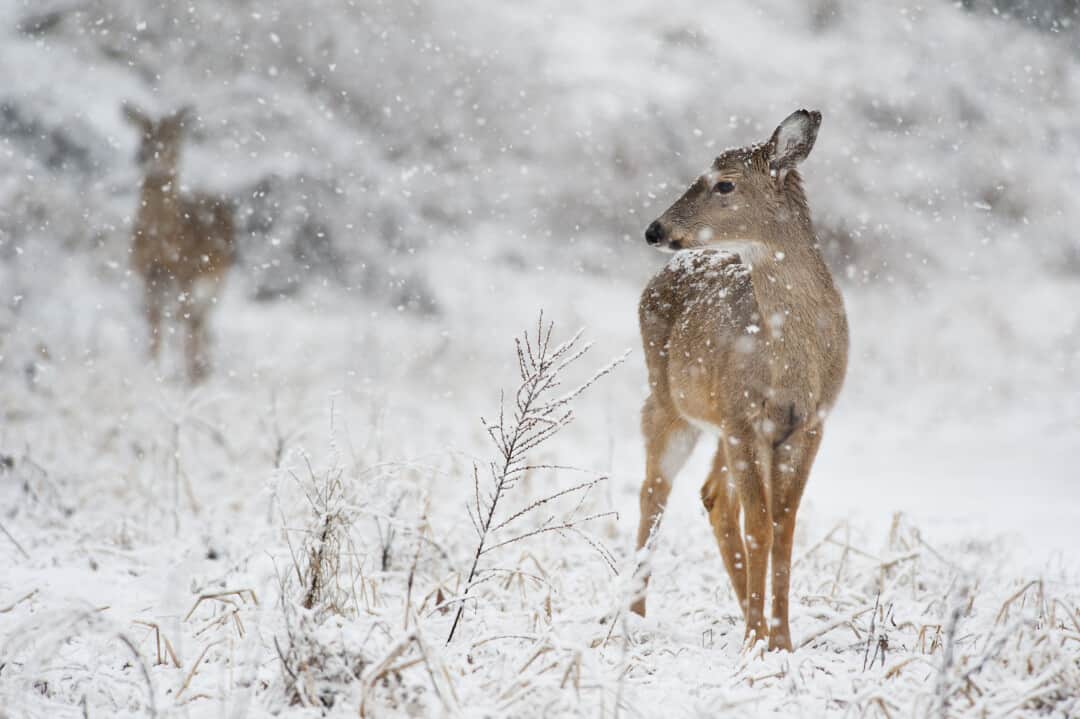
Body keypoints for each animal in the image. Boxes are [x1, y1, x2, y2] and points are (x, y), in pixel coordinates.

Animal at [122, 103, 235, 383]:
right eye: (143, 137)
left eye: (171, 137)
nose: (141, 156)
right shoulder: (149, 273)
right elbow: (155, 322)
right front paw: (153, 367)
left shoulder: (186, 273)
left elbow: (182, 320)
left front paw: (186, 376)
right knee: (192, 321)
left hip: (215, 281)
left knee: (198, 320)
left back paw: (199, 370)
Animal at [631, 110, 848, 652]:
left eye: (724, 183)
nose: (653, 230)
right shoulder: (745, 418)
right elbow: (760, 528)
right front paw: (757, 641)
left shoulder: (808, 423)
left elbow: (784, 527)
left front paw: (781, 641)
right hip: (669, 401)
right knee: (654, 491)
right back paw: (634, 616)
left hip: (719, 422)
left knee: (713, 498)